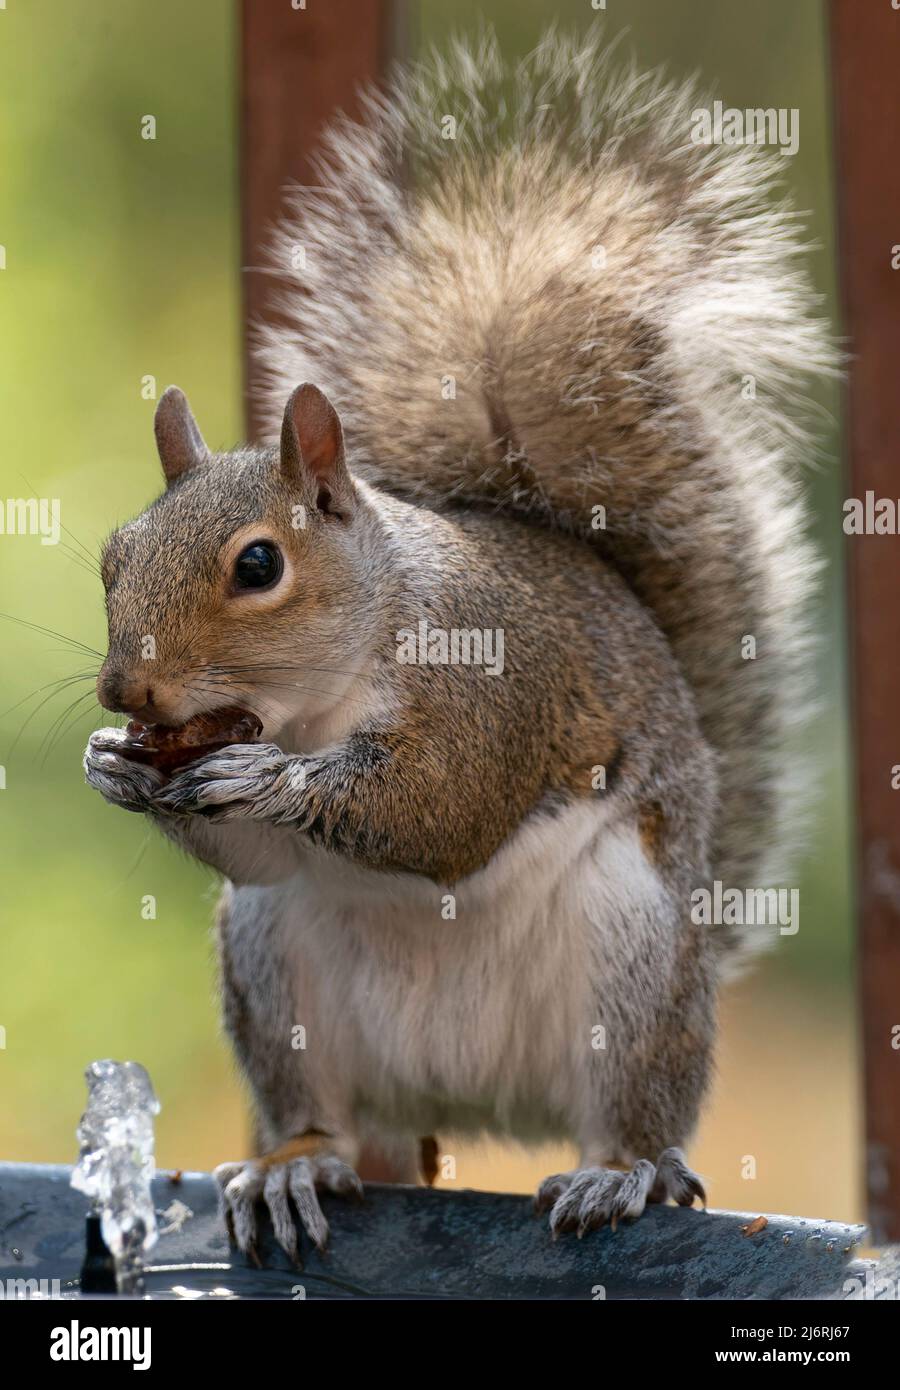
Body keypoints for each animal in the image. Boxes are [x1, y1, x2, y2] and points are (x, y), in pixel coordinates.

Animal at [83, 31, 833, 1257]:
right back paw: (295, 1165)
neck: (329, 686)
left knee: (637, 1110)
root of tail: (473, 1102)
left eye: (259, 566)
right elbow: (258, 851)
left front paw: (271, 779)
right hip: (274, 971)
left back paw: (616, 1175)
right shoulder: (258, 854)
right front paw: (113, 767)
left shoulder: (496, 688)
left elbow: (442, 808)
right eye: (114, 553)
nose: (125, 692)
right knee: (330, 1115)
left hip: (631, 961)